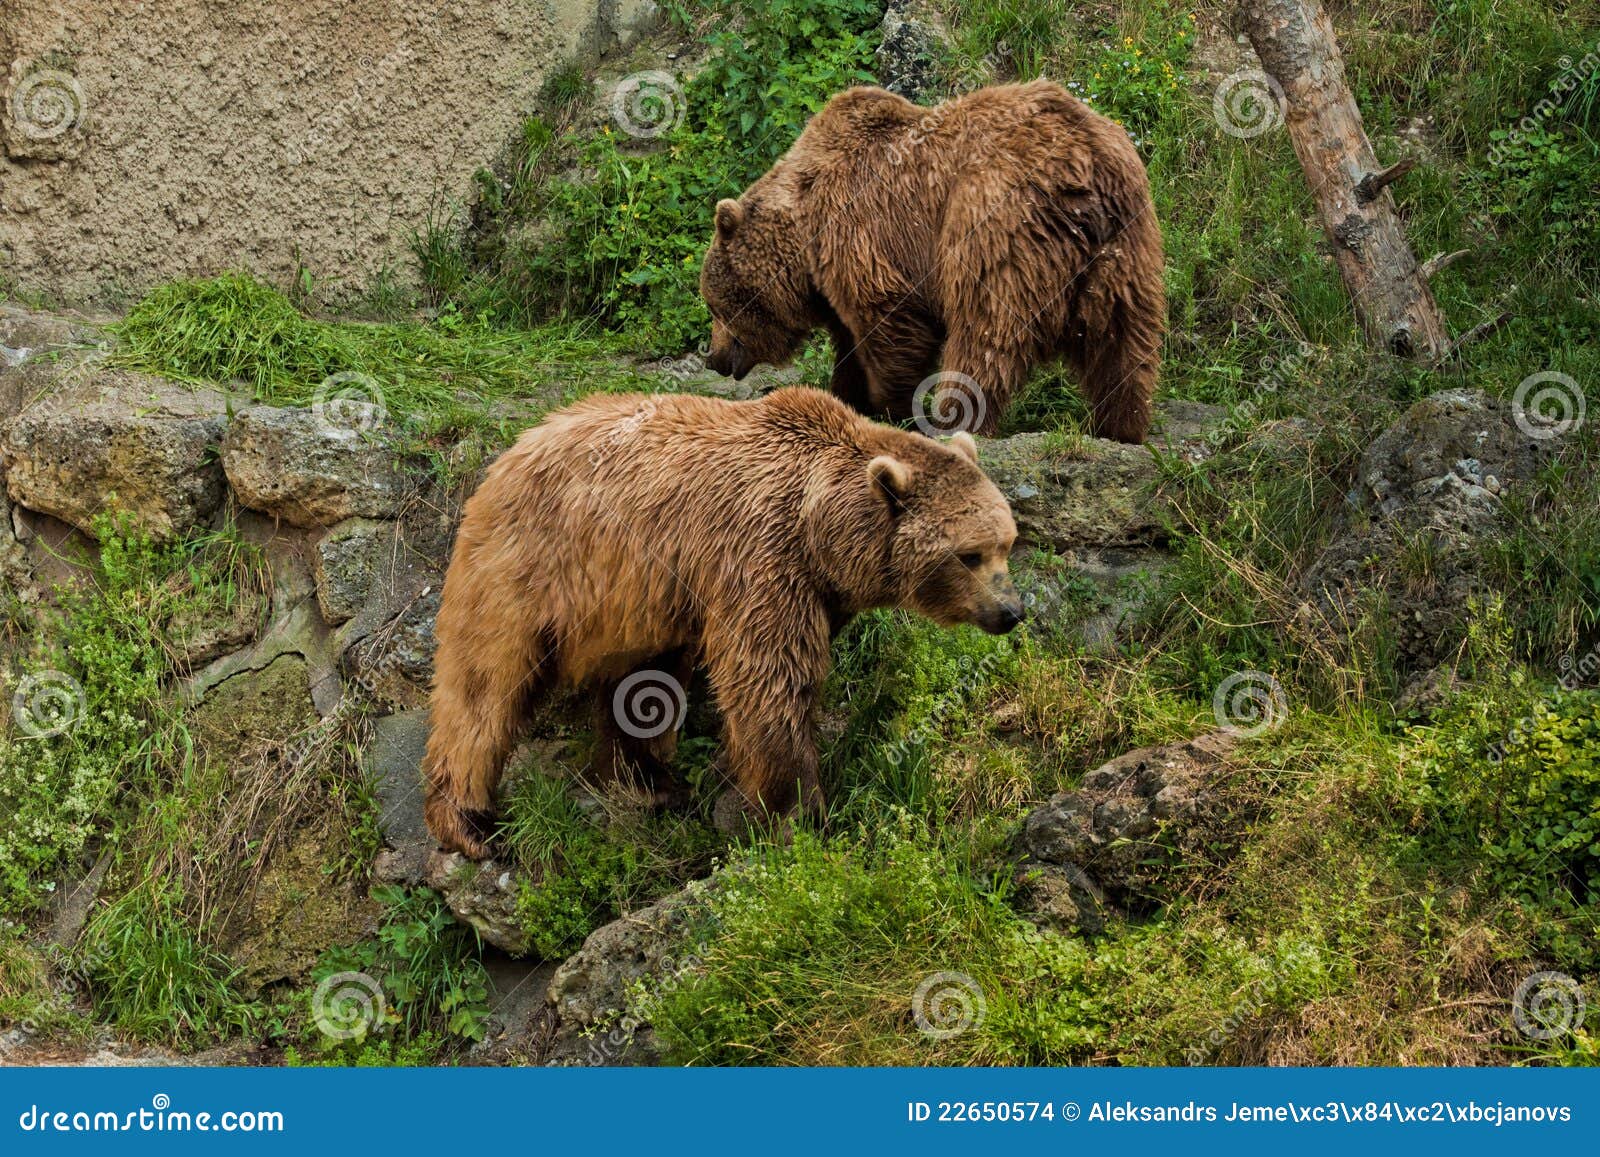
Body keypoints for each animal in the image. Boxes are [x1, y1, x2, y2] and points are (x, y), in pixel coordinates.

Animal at [422, 387, 1023, 859]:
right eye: (968, 555)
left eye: (1008, 542)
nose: (1011, 611)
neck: (821, 529)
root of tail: (510, 453)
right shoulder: (762, 556)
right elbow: (771, 680)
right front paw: (798, 812)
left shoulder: (820, 588)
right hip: (529, 565)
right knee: (484, 685)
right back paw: (469, 823)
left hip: (634, 603)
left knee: (640, 687)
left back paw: (649, 783)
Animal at [699, 79, 1165, 442]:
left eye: (713, 305)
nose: (714, 358)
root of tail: (1082, 161)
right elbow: (850, 344)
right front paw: (847, 393)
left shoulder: (861, 231)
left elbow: (891, 323)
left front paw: (889, 405)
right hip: (1128, 239)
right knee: (1125, 340)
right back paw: (1122, 425)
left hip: (994, 219)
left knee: (985, 329)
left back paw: (955, 419)